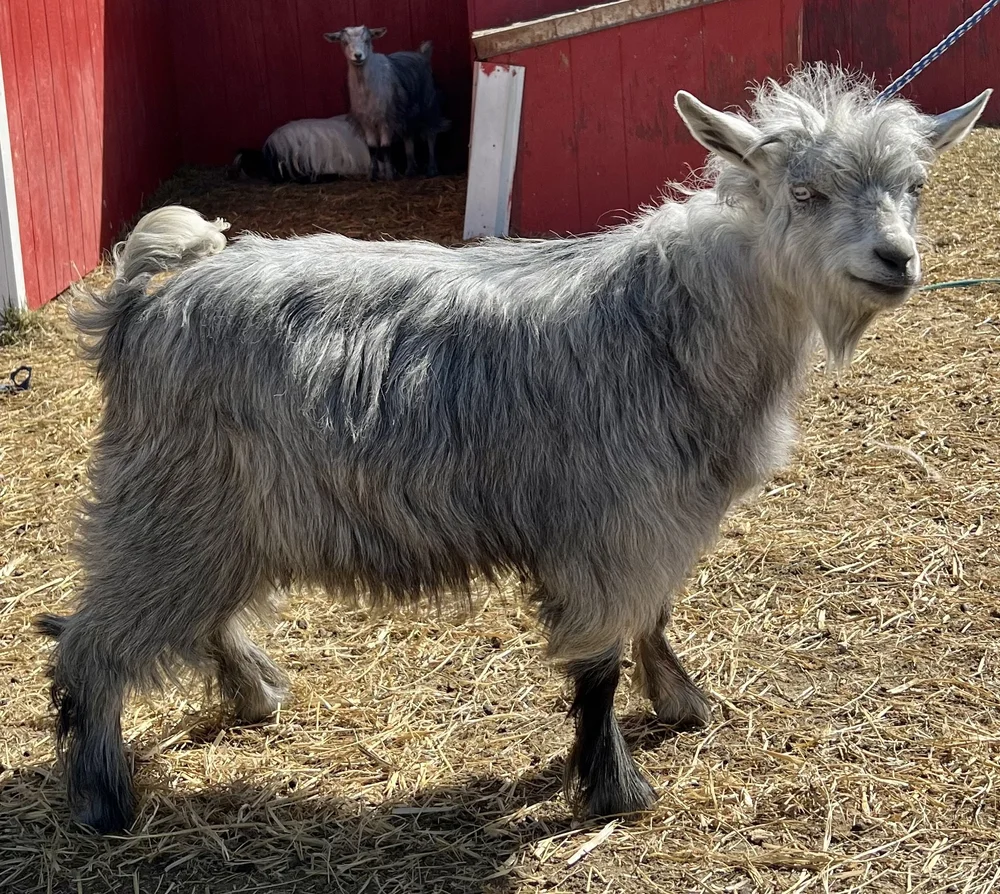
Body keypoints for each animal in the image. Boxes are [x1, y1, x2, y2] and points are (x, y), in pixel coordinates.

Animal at [323, 25, 450, 180]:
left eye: (367, 40)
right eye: (344, 42)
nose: (358, 56)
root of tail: (421, 55)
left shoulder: (386, 119)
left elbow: (385, 147)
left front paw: (389, 175)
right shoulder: (366, 121)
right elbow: (372, 148)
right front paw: (372, 176)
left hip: (428, 104)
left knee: (431, 134)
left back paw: (431, 169)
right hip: (405, 112)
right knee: (408, 137)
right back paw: (410, 170)